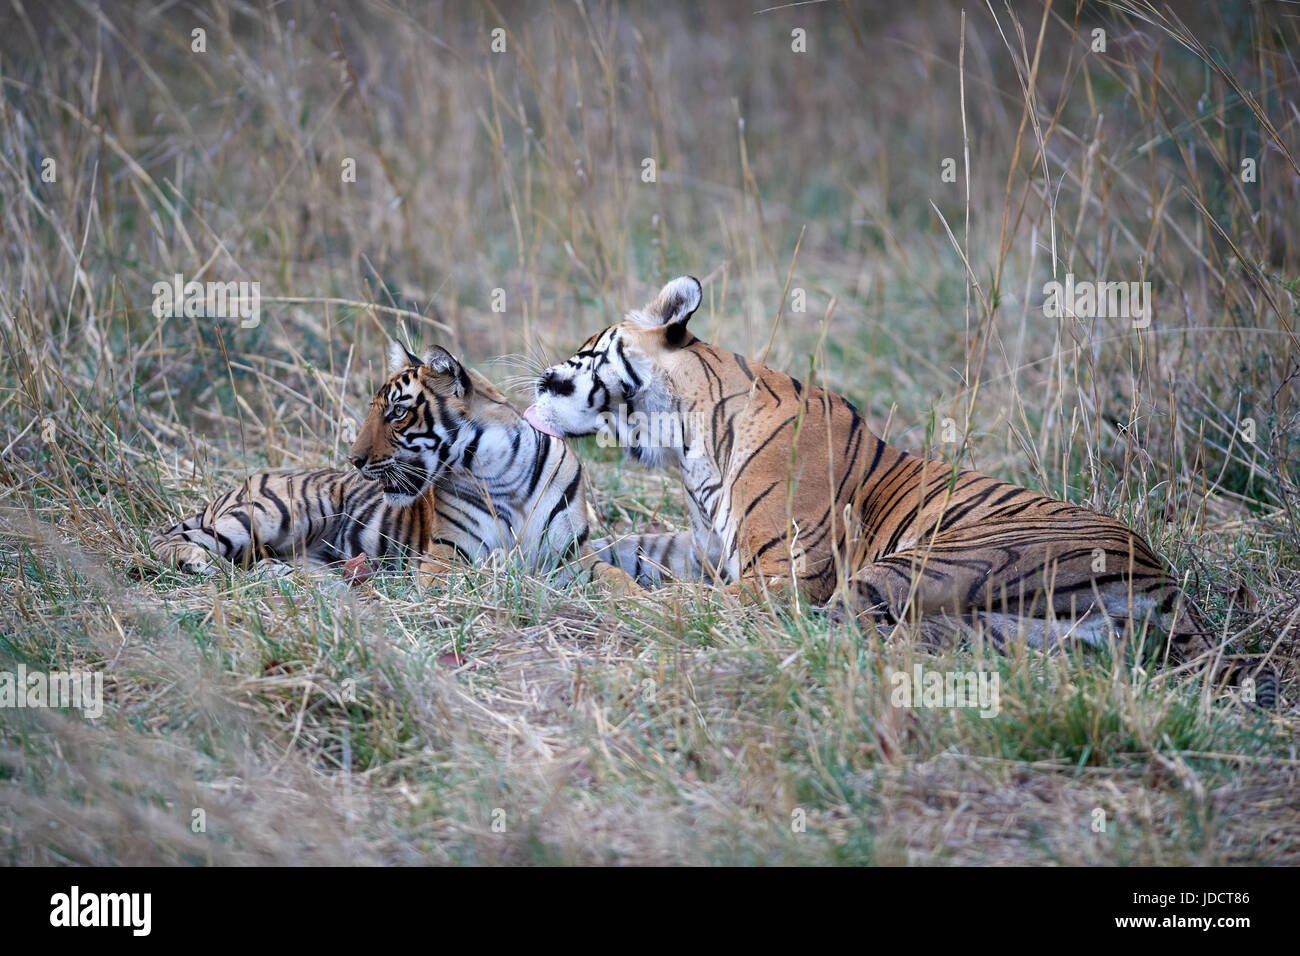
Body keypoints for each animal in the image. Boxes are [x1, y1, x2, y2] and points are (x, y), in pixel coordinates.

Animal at [152, 343, 640, 594]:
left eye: (397, 412)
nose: (353, 459)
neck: (506, 475)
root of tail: (245, 480)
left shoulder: (575, 555)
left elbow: (616, 577)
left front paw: (645, 599)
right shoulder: (446, 560)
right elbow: (492, 572)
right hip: (268, 514)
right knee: (169, 540)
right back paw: (198, 563)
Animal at [524, 275, 1278, 706]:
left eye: (579, 353)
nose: (532, 386)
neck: (686, 445)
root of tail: (1168, 587)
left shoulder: (779, 571)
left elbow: (686, 595)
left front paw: (577, 575)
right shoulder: (708, 543)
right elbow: (637, 546)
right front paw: (569, 554)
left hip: (930, 560)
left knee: (816, 626)